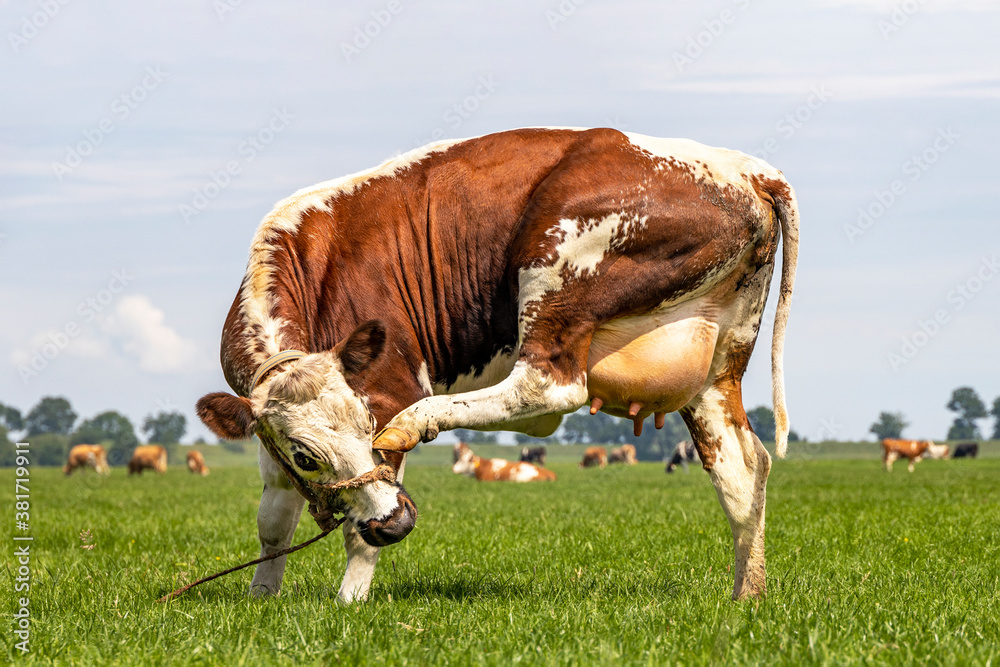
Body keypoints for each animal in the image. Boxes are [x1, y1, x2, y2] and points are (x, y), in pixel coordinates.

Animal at [195, 127, 798, 602]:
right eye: (306, 454)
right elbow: (274, 518)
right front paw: (263, 595)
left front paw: (348, 604)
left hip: (555, 270)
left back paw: (423, 420)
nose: (398, 523)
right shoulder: (269, 433)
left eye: (369, 422)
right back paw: (747, 595)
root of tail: (746, 169)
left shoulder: (392, 387)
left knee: (549, 385)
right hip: (717, 369)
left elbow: (360, 525)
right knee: (743, 467)